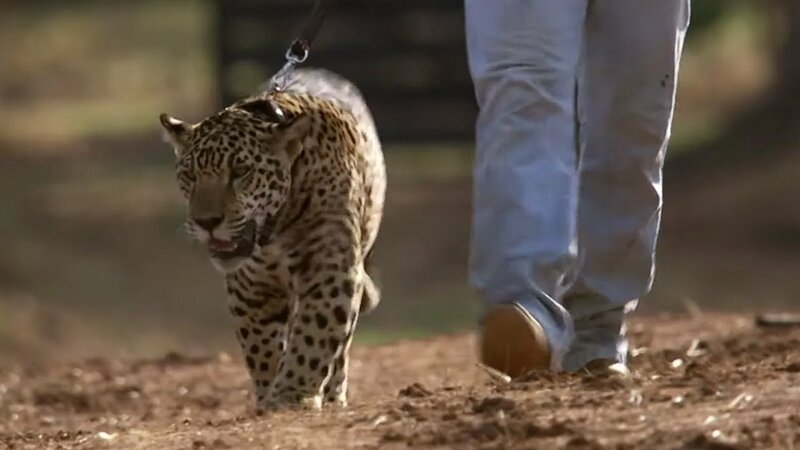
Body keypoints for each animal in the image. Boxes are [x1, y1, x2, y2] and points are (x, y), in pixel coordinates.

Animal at [158, 68, 386, 411]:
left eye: (240, 172)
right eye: (190, 176)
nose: (206, 222)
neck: (275, 230)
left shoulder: (330, 269)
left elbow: (314, 334)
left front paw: (293, 394)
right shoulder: (251, 289)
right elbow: (261, 347)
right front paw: (270, 395)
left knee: (340, 347)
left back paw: (333, 396)